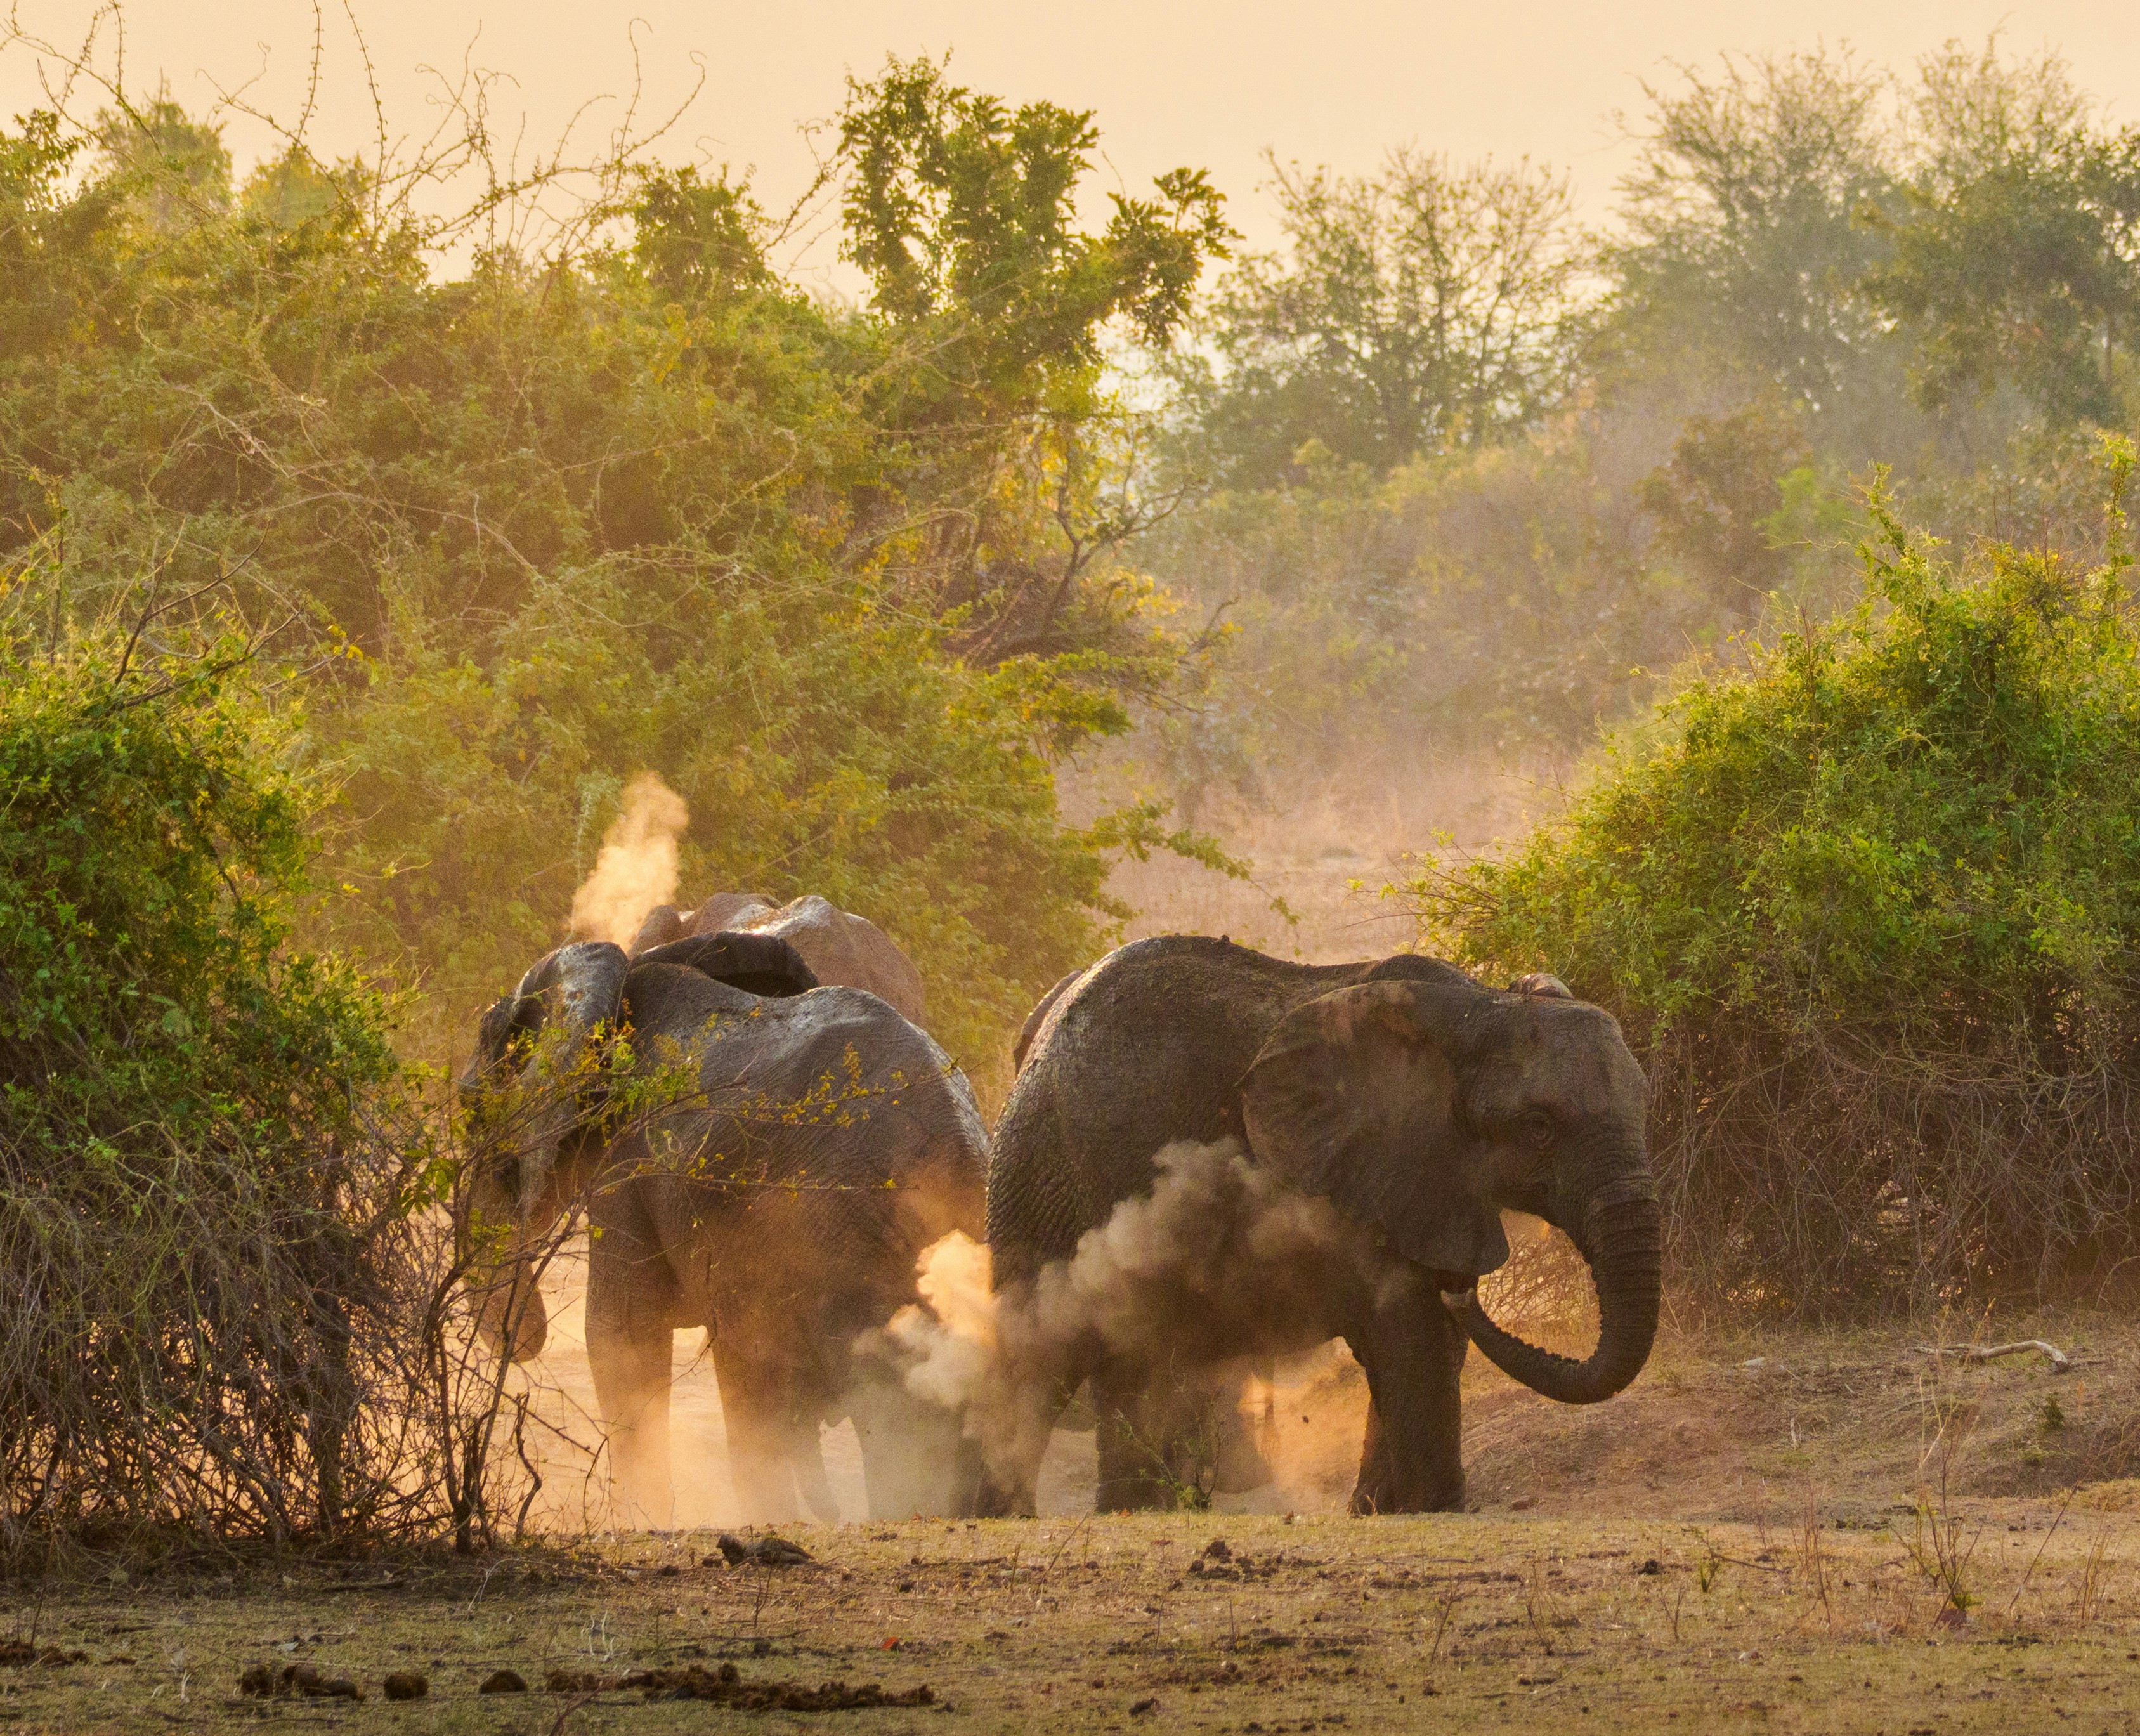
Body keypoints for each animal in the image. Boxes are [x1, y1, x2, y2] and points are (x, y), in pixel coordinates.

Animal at [459, 929, 989, 1525]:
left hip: (854, 1245)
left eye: (470, 1106)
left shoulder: (630, 1157)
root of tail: (960, 1158)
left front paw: (643, 1523)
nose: (525, 1333)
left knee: (893, 1408)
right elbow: (739, 1360)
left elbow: (621, 1333)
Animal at [982, 934, 1661, 1515]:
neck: (1481, 1006)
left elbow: (1430, 1336)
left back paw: (1136, 1511)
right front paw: (1434, 1510)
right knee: (1044, 1350)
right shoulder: (1376, 1167)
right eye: (1539, 1127)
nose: (1468, 1290)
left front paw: (1377, 1512)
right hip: (1043, 1169)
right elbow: (1409, 1329)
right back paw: (1006, 1515)